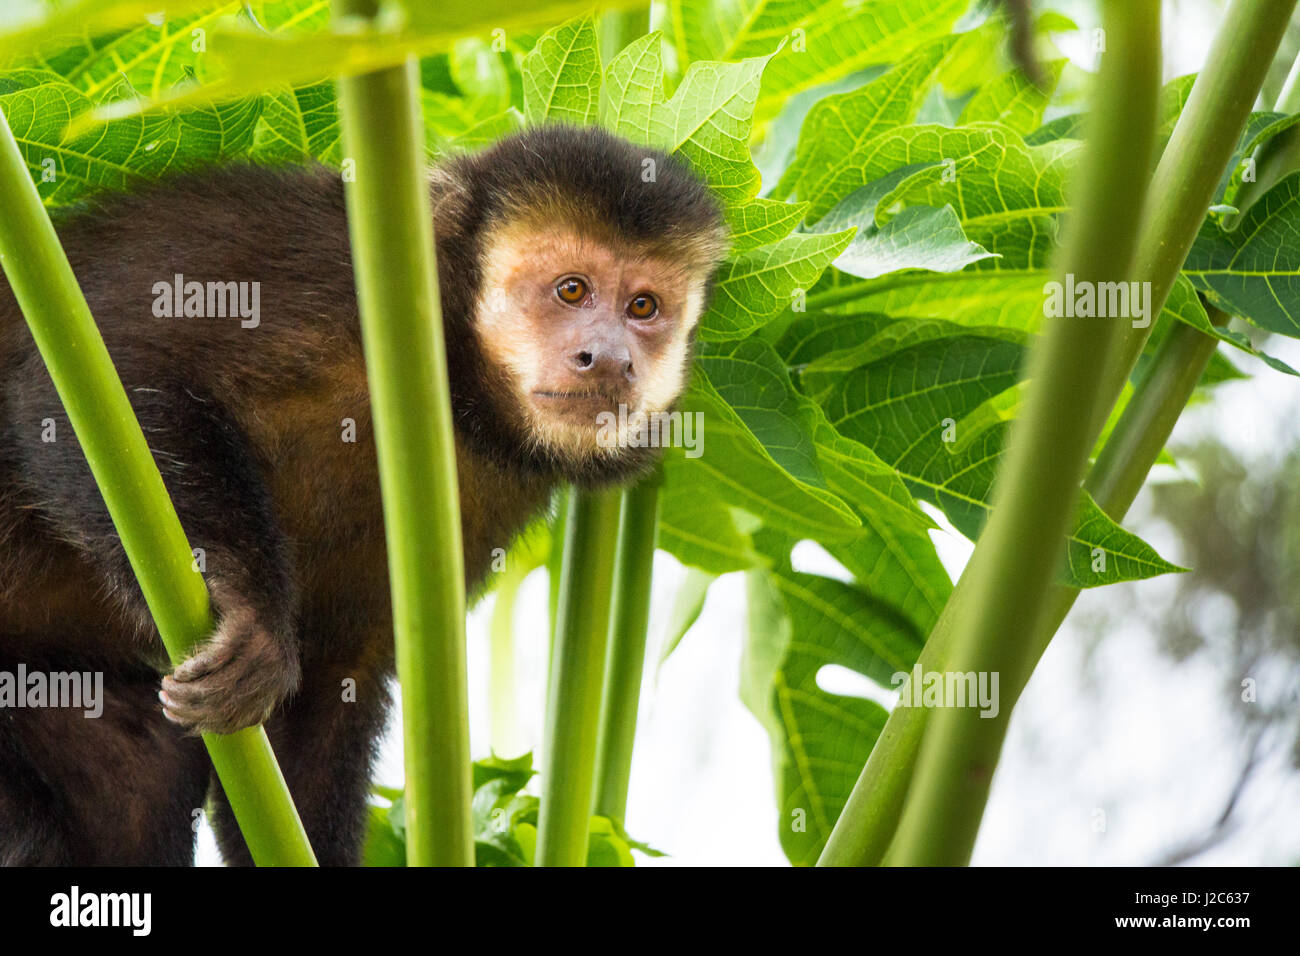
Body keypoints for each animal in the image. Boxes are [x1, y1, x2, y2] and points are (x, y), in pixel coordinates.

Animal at [0, 124, 727, 866]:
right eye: (572, 291)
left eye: (643, 307)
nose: (609, 359)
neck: (450, 378)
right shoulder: (311, 262)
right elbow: (102, 375)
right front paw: (246, 609)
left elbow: (334, 677)